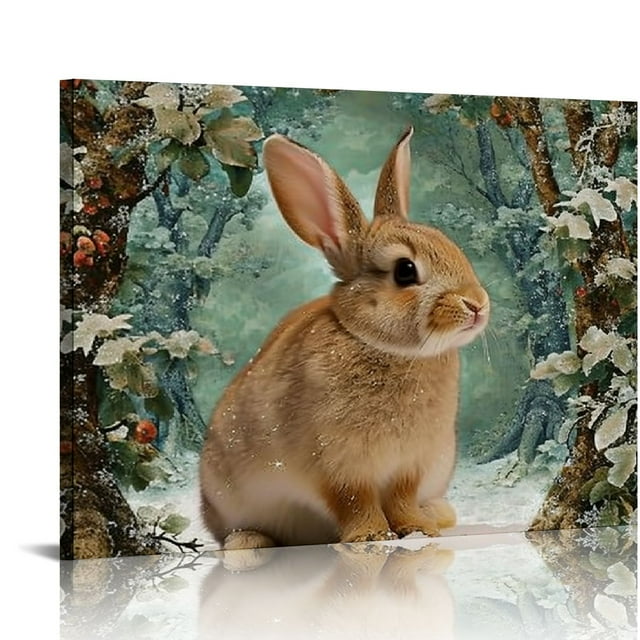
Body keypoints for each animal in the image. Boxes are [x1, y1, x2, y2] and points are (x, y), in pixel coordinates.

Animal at [199, 127, 489, 550]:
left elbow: (402, 499)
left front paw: (418, 530)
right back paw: (247, 546)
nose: (478, 305)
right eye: (405, 271)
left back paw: (438, 513)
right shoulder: (337, 465)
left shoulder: (411, 465)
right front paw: (371, 537)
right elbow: (355, 501)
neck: (383, 346)